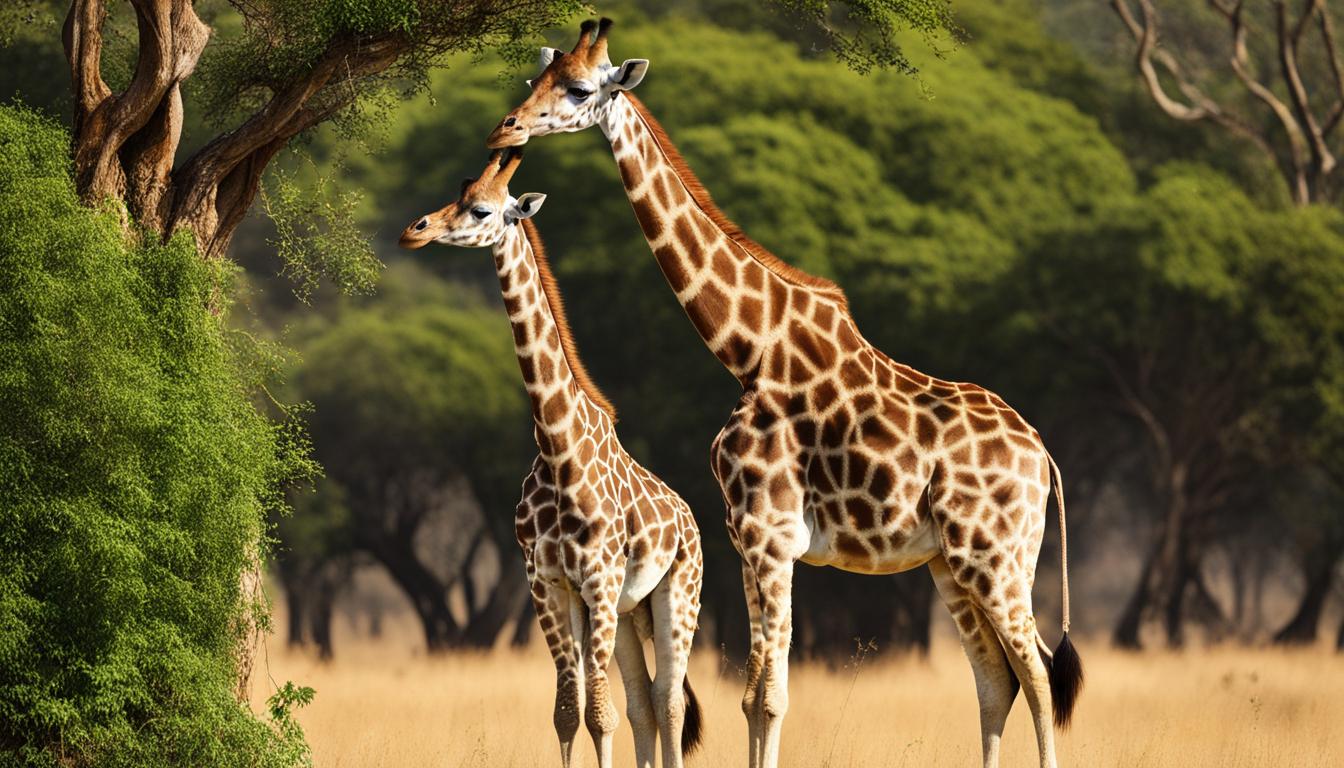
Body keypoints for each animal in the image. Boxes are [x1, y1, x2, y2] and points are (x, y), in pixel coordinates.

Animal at [399, 148, 705, 768]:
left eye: (481, 208)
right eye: (456, 192)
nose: (414, 230)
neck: (558, 446)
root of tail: (690, 520)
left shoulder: (599, 581)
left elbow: (598, 714)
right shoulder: (547, 583)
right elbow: (569, 711)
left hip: (677, 593)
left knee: (669, 701)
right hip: (631, 610)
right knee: (644, 702)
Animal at [484, 20, 1085, 768]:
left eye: (578, 88)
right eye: (537, 75)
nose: (505, 129)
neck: (748, 350)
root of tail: (1044, 458)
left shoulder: (770, 536)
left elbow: (765, 696)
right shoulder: (750, 538)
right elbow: (757, 695)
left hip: (996, 553)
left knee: (1037, 672)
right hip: (951, 561)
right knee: (995, 679)